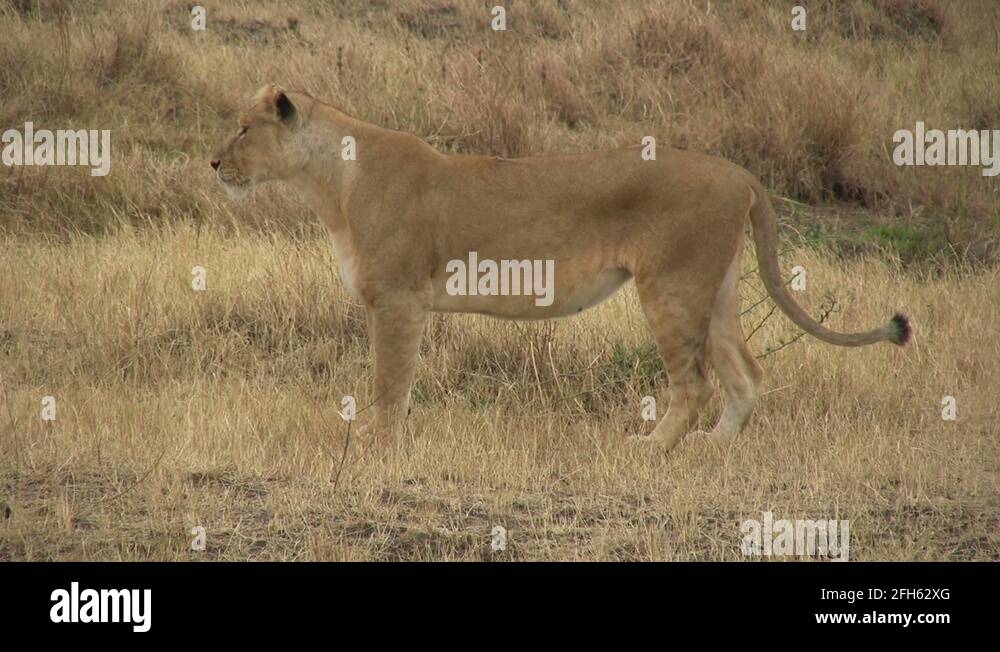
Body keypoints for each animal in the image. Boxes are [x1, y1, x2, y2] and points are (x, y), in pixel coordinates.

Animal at [211, 85, 910, 451]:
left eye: (244, 128)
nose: (212, 162)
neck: (331, 181)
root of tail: (741, 174)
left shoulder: (399, 299)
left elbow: (390, 382)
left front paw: (376, 447)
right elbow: (395, 383)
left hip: (672, 287)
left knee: (697, 384)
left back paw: (650, 450)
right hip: (717, 290)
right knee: (747, 375)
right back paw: (708, 451)